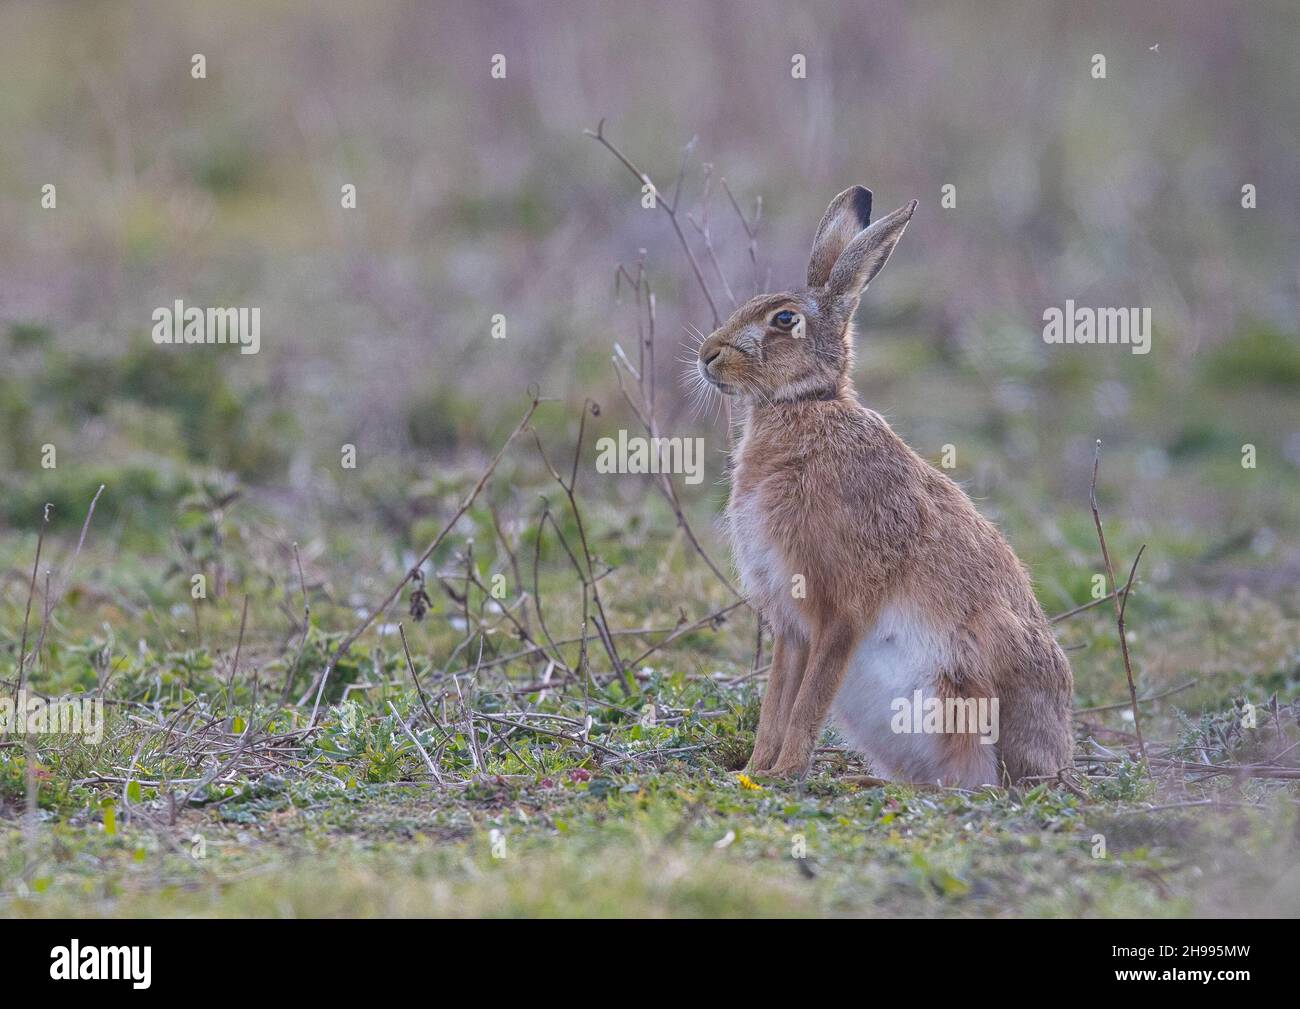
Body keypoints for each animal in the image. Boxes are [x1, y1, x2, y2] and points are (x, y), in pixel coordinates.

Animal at [695, 187, 1074, 787]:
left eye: (784, 319)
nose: (708, 354)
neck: (807, 406)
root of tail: (1054, 766)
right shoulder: (792, 627)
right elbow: (776, 703)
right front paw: (755, 771)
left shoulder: (840, 609)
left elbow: (808, 701)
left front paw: (785, 773)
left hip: (964, 687)